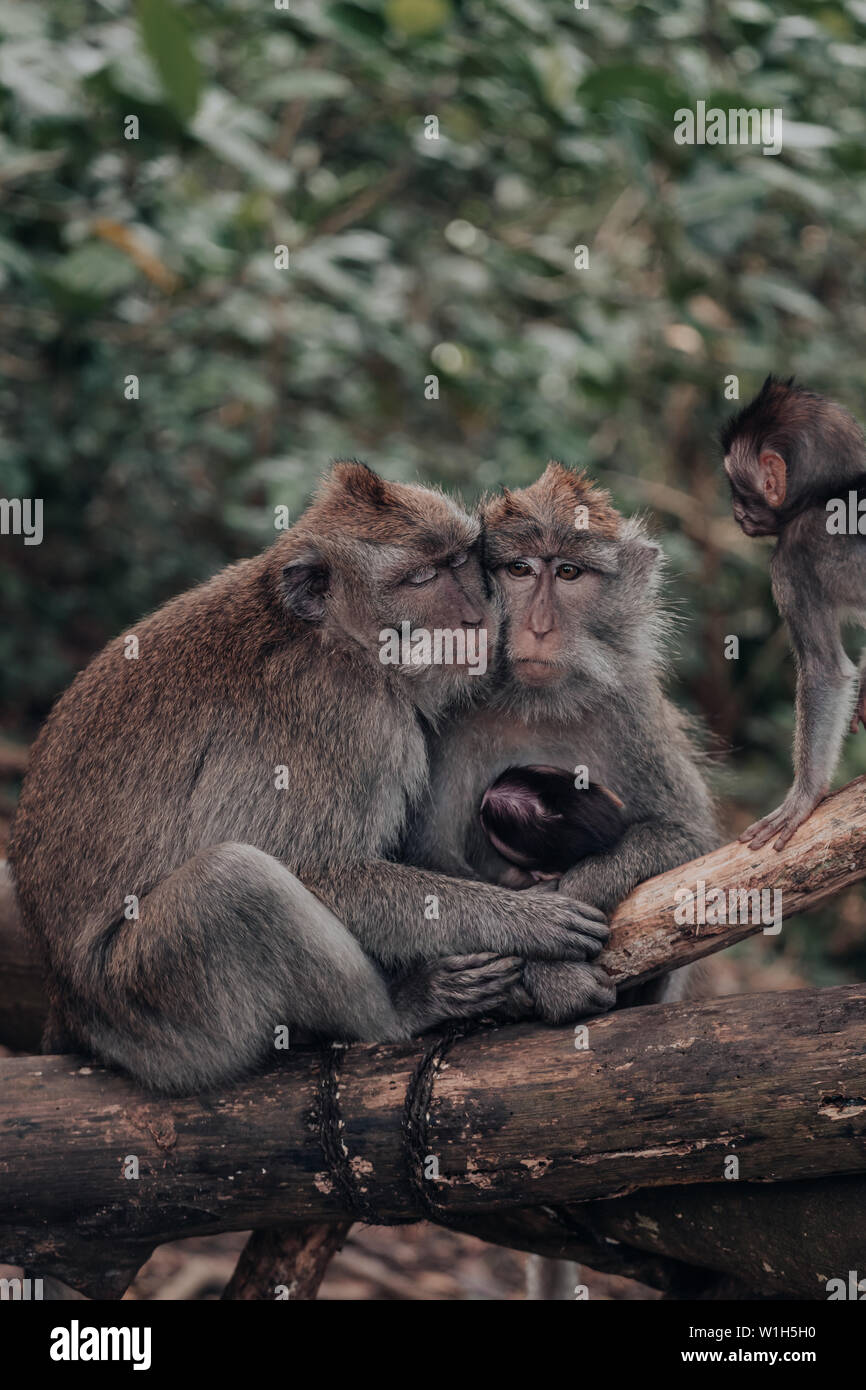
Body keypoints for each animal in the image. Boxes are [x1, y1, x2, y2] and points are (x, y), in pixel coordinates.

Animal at [9, 461, 611, 1095]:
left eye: (459, 561)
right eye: (420, 578)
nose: (475, 618)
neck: (335, 640)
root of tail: (68, 1007)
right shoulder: (347, 719)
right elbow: (314, 868)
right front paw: (526, 921)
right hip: (156, 1020)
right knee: (233, 882)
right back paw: (398, 1012)